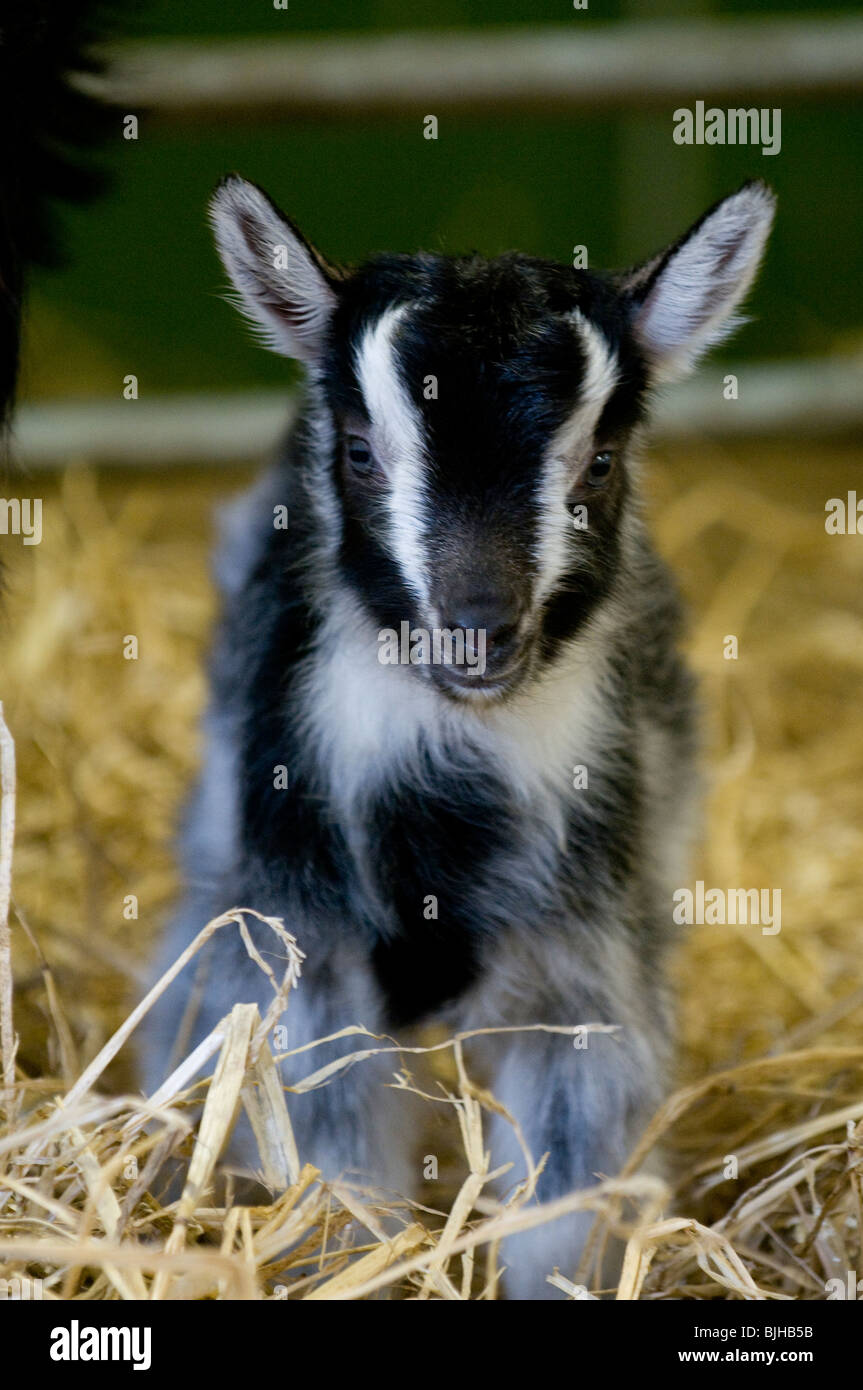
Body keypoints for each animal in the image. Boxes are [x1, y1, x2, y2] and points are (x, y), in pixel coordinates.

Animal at [144, 176, 774, 1297]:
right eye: (359, 453)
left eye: (599, 462)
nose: (478, 625)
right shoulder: (306, 952)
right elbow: (336, 1185)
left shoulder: (584, 970)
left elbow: (567, 1199)